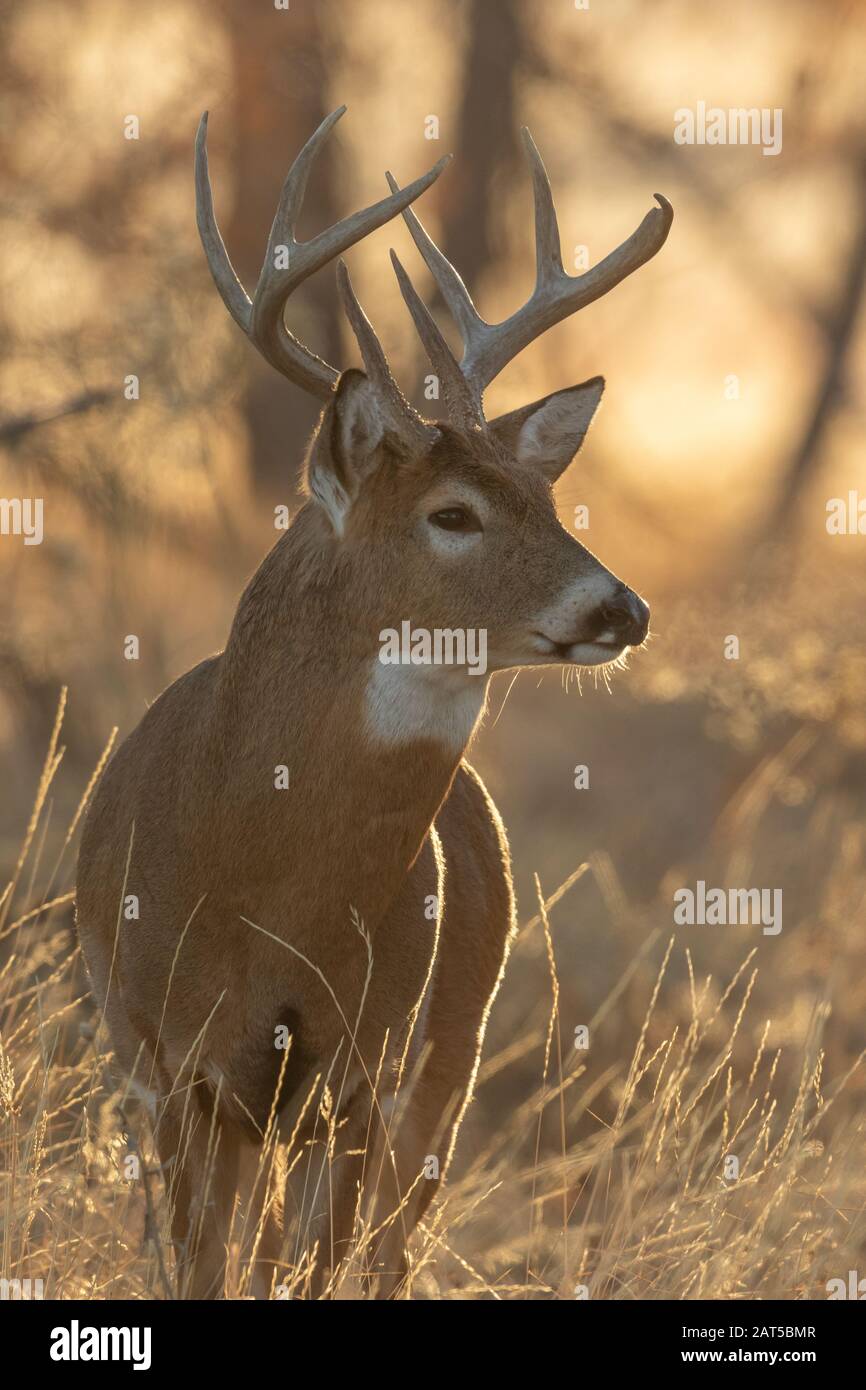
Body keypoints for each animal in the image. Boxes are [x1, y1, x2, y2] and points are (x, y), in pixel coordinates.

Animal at [76, 104, 672, 1299]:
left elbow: (305, 1269)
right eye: (452, 513)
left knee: (378, 1249)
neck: (260, 889)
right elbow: (203, 1269)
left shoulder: (367, 1069)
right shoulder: (169, 1059)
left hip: (447, 1066)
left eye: (546, 499)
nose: (621, 606)